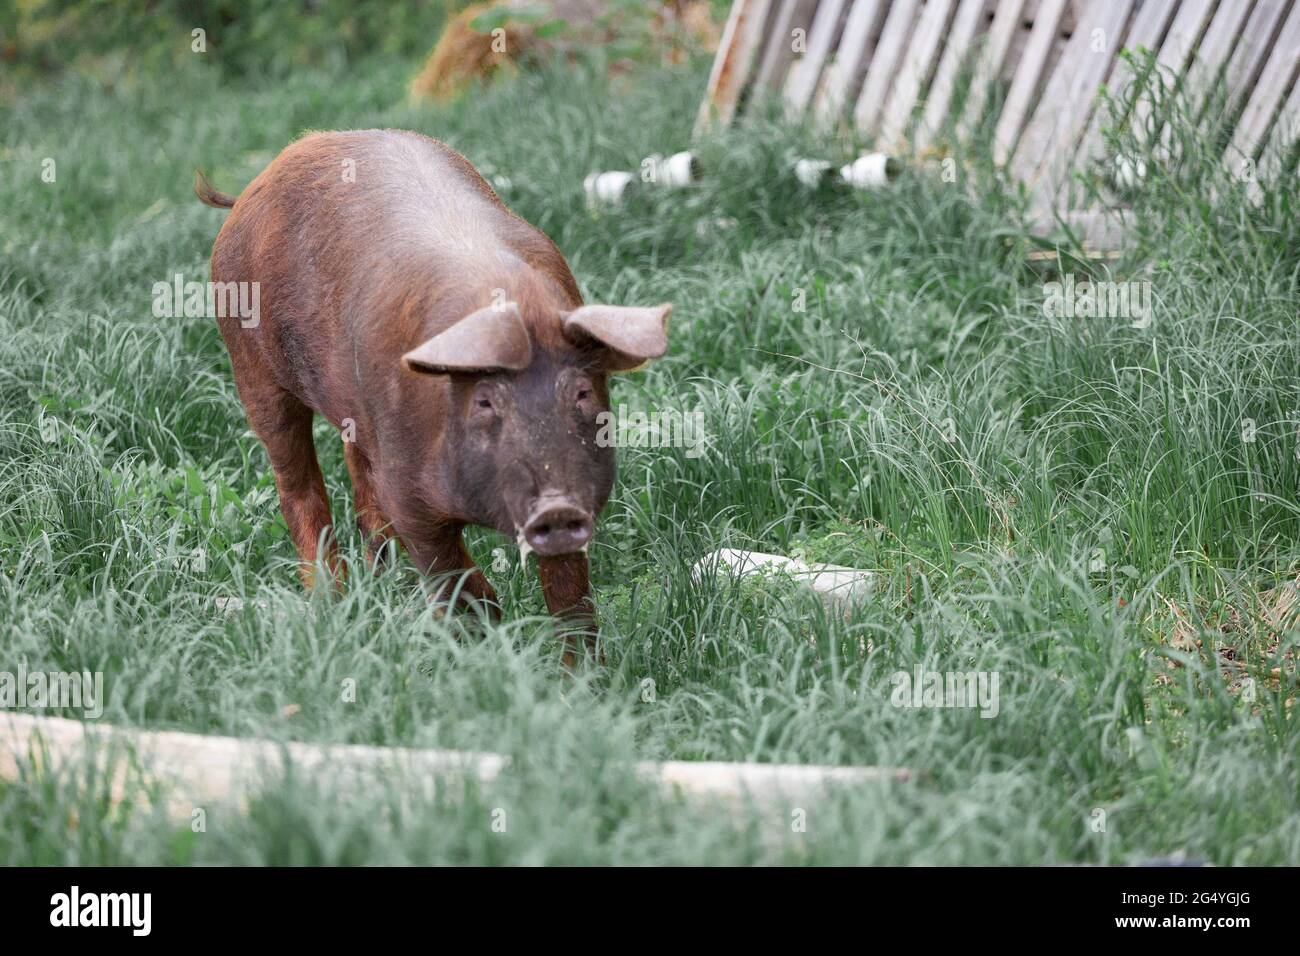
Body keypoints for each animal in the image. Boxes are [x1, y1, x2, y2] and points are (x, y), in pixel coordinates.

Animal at [195, 129, 672, 666]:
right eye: (485, 401)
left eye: (582, 393)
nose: (555, 507)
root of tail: (255, 184)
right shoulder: (409, 495)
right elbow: (455, 580)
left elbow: (570, 598)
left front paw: (581, 678)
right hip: (251, 368)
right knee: (296, 483)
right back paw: (333, 602)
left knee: (359, 478)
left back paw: (378, 585)